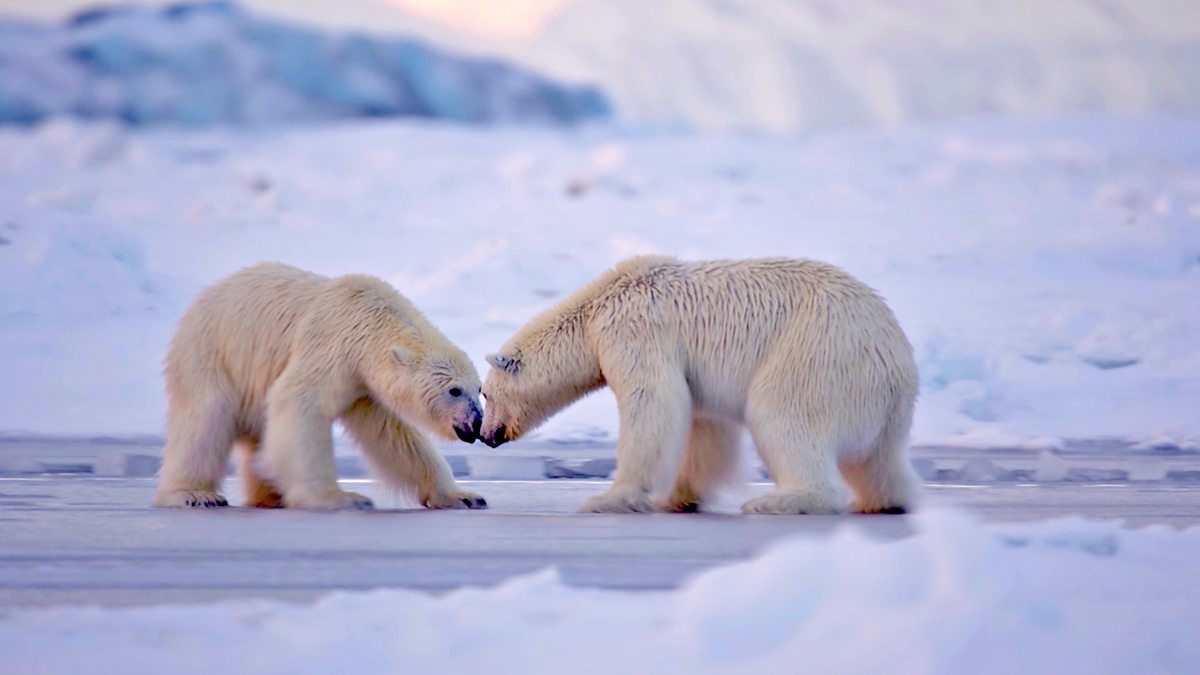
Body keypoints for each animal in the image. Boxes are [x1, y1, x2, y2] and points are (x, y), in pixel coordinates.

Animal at [154, 262, 488, 511]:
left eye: (479, 389)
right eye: (454, 390)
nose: (477, 424)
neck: (369, 318)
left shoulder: (362, 386)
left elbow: (393, 435)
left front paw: (464, 496)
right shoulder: (331, 346)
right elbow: (298, 403)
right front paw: (341, 498)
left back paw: (271, 494)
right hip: (210, 353)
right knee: (205, 420)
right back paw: (195, 494)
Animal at [479, 256, 919, 515]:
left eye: (486, 393)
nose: (484, 435)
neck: (594, 311)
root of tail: (897, 361)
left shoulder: (632, 331)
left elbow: (652, 403)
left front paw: (608, 498)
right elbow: (705, 426)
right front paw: (679, 496)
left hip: (817, 355)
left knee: (782, 415)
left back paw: (779, 500)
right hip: (874, 402)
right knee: (878, 460)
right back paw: (886, 501)